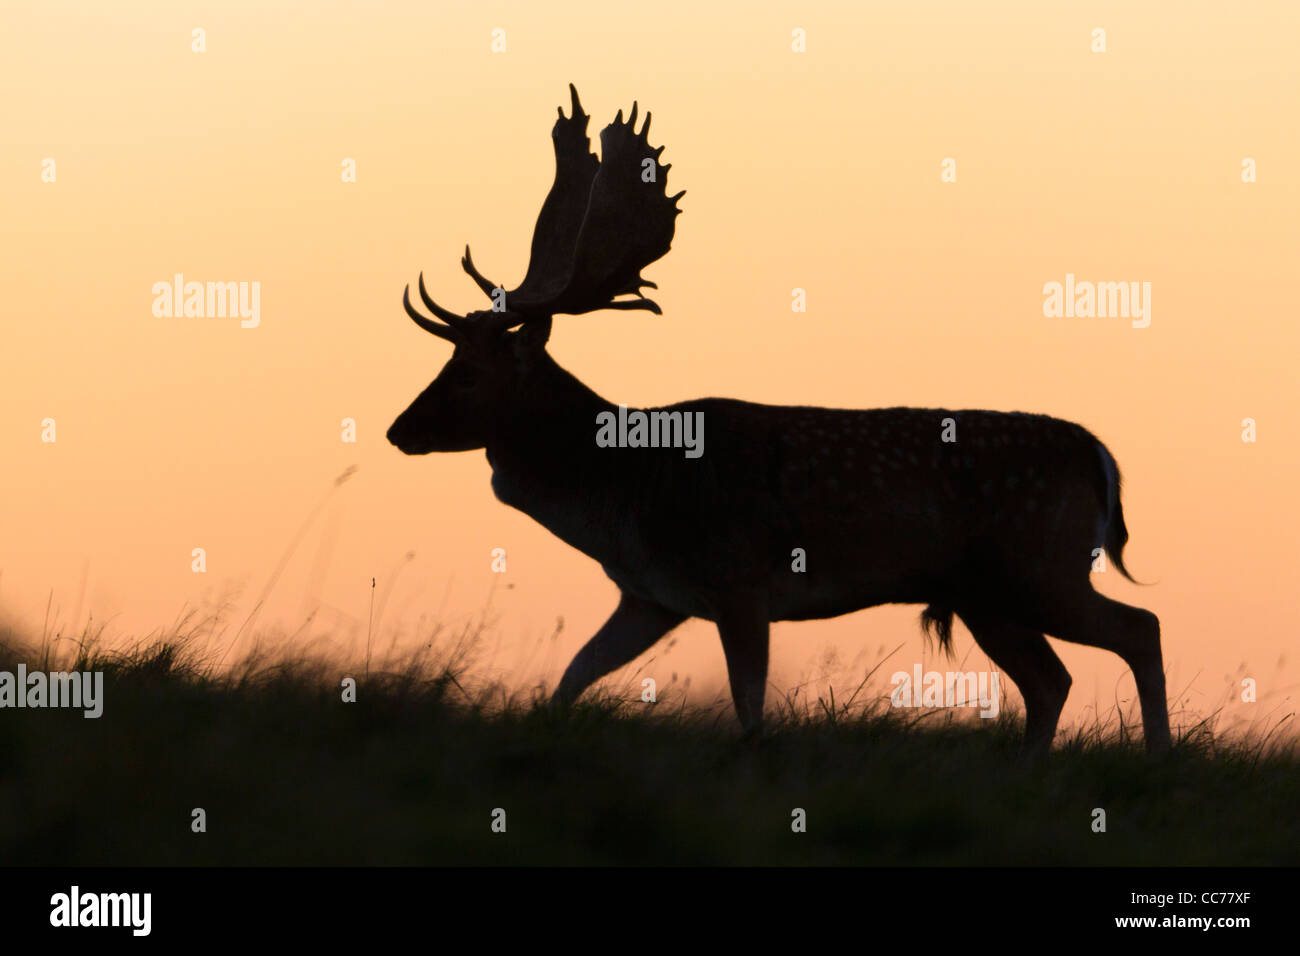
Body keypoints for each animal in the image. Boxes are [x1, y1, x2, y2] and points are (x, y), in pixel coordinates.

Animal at [387, 84, 1172, 756]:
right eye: (449, 360)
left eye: (467, 373)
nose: (399, 430)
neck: (626, 489)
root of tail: (1100, 457)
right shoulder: (650, 596)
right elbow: (573, 675)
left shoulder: (739, 580)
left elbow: (749, 710)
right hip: (989, 595)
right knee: (1051, 681)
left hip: (1038, 566)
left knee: (1139, 628)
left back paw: (1159, 757)